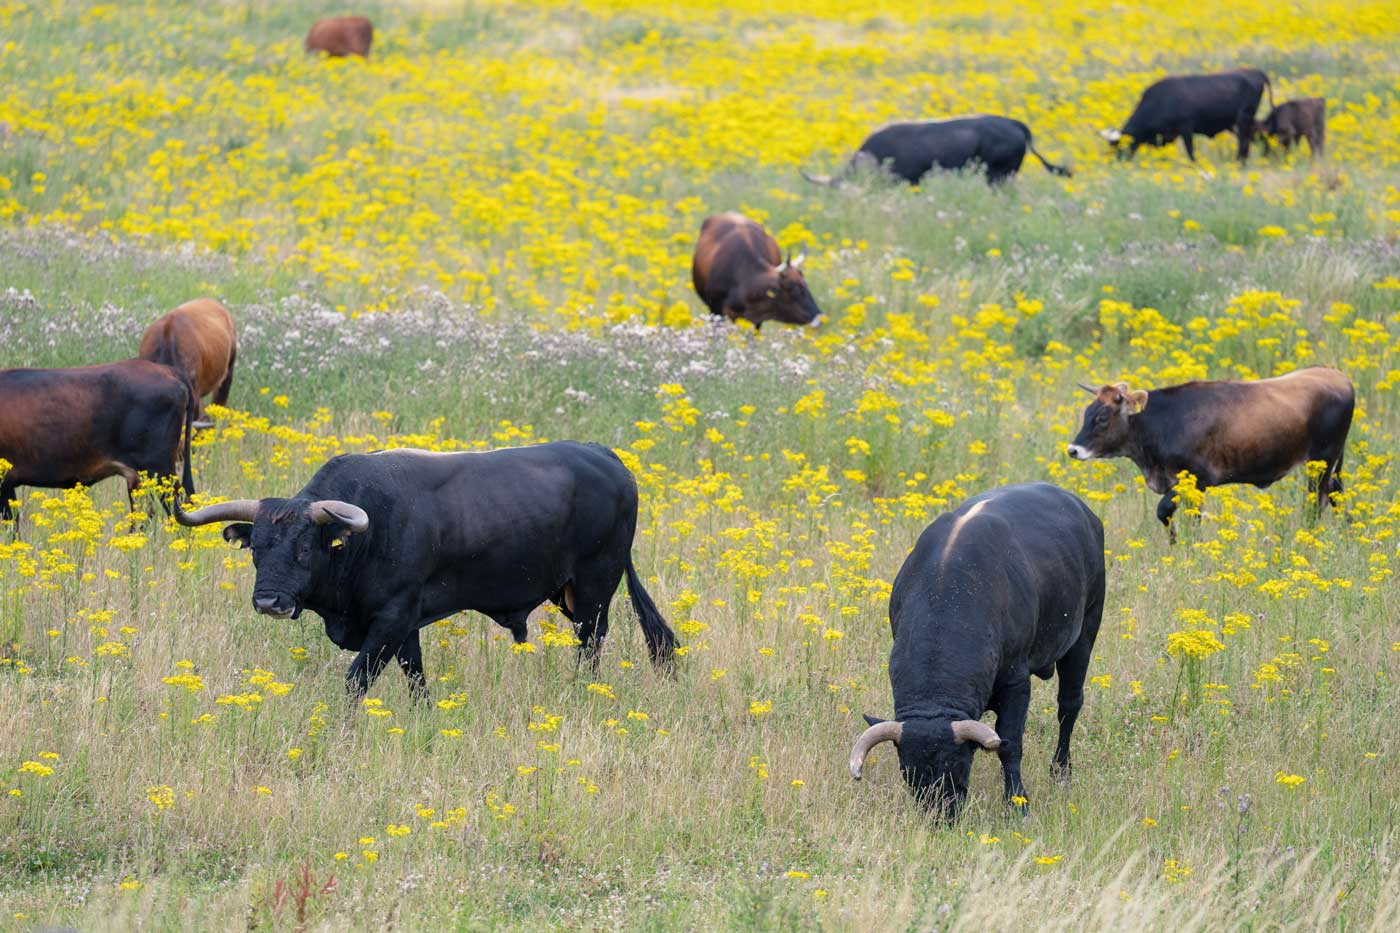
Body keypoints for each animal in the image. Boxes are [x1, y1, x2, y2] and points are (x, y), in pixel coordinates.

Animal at [172, 442, 678, 697]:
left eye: (305, 548)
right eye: (256, 548)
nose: (268, 600)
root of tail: (605, 456)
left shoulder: (391, 619)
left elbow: (356, 680)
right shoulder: (405, 627)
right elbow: (416, 679)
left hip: (594, 587)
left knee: (591, 642)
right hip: (567, 592)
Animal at [849, 483, 1104, 819]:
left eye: (957, 765)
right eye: (908, 771)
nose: (941, 816)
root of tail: (1081, 509)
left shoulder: (1016, 684)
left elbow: (1010, 744)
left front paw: (1018, 803)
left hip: (1084, 633)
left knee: (1069, 706)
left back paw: (1061, 772)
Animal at [1066, 368, 1354, 538]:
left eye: (1102, 418)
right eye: (1087, 413)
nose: (1073, 449)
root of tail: (1337, 375)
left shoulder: (1197, 479)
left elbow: (1164, 510)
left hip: (1321, 461)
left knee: (1316, 502)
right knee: (1337, 494)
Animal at [1101, 69, 1273, 163]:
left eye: (1118, 145)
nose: (1112, 163)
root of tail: (1254, 72)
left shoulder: (1186, 128)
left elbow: (1190, 151)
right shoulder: (1167, 135)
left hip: (1243, 120)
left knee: (1244, 142)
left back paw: (1240, 163)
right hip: (1240, 123)